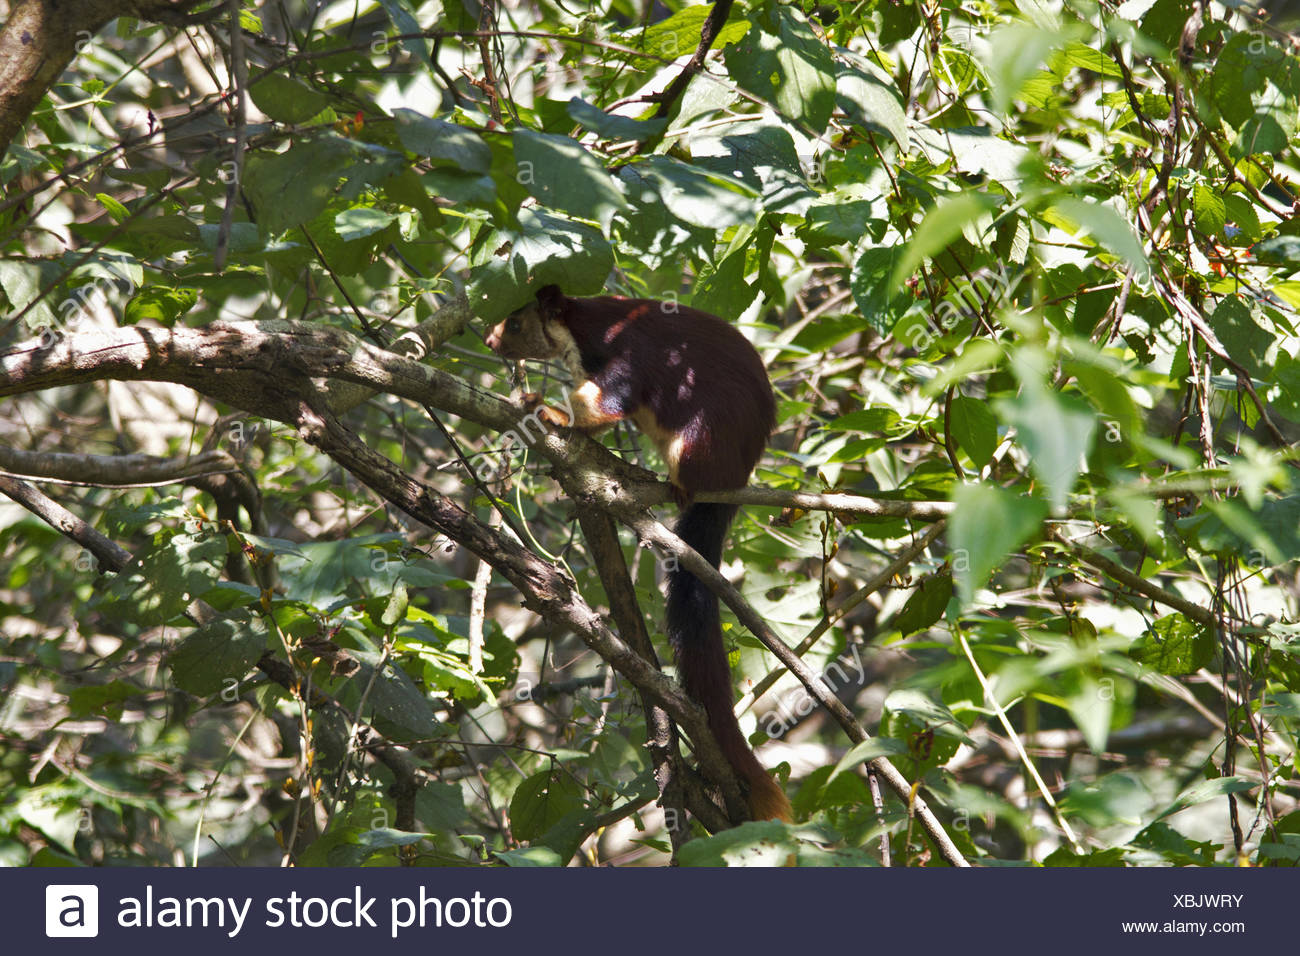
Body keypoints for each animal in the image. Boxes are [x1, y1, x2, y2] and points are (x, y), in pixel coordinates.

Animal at [487, 284, 791, 822]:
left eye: (517, 323)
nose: (487, 338)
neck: (579, 330)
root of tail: (735, 480)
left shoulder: (627, 358)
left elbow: (608, 402)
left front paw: (548, 409)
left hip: (703, 435)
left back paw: (669, 483)